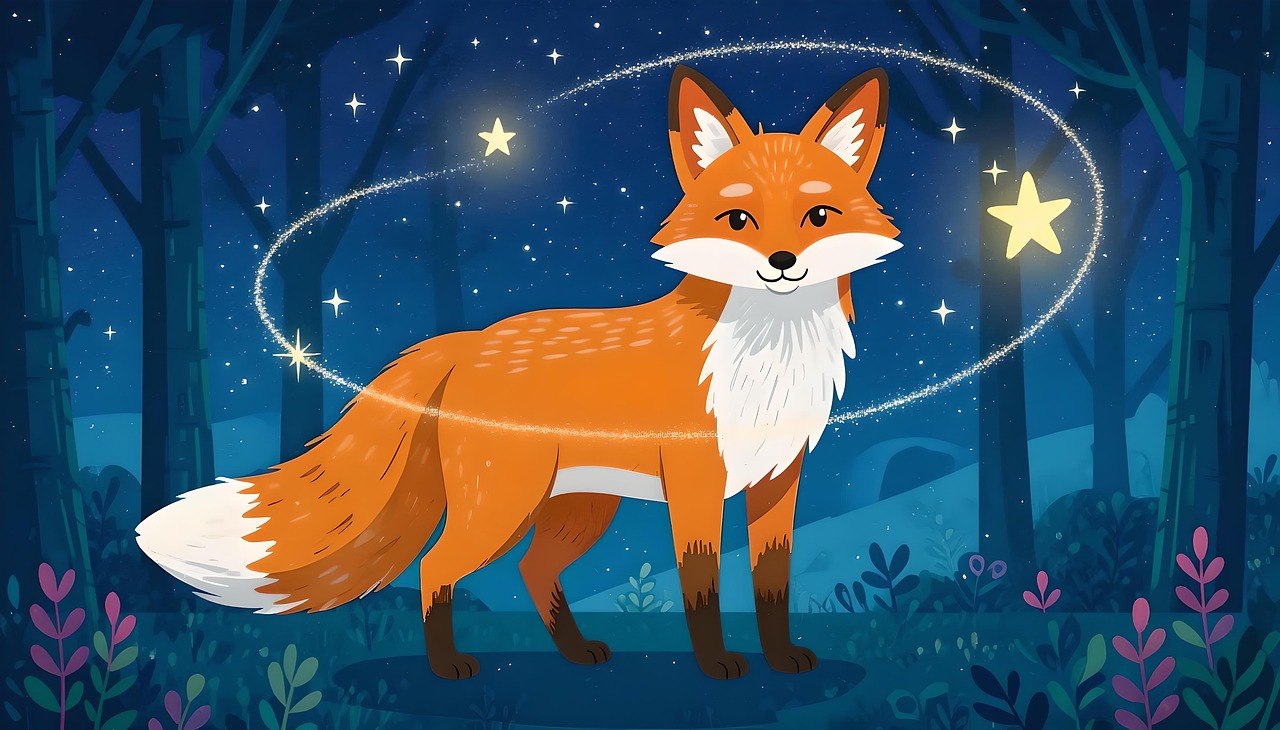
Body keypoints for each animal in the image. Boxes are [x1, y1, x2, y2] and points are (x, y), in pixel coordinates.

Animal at [136, 65, 902, 681]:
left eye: (819, 215)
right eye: (738, 219)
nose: (781, 261)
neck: (768, 355)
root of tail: (471, 341)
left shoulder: (778, 481)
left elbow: (772, 586)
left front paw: (783, 659)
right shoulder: (696, 485)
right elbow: (703, 588)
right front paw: (717, 666)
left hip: (577, 509)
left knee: (531, 570)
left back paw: (577, 653)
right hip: (502, 507)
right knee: (437, 567)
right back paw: (448, 667)